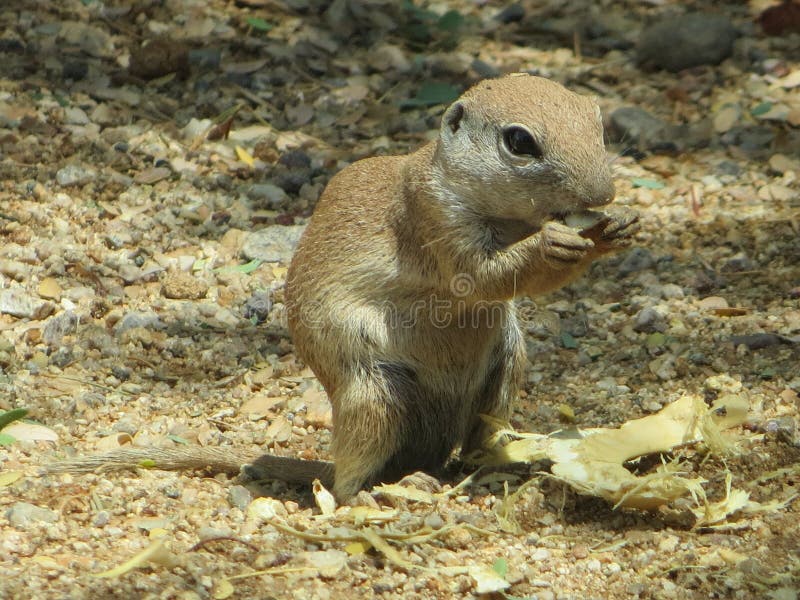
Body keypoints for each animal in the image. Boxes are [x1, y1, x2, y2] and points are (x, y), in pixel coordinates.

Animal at [47, 74, 638, 501]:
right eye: (519, 141)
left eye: (597, 125)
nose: (602, 193)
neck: (508, 218)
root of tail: (425, 453)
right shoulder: (434, 219)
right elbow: (481, 276)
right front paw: (555, 244)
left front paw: (617, 229)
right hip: (373, 395)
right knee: (344, 480)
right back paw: (381, 493)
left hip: (507, 364)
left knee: (475, 442)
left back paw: (508, 460)